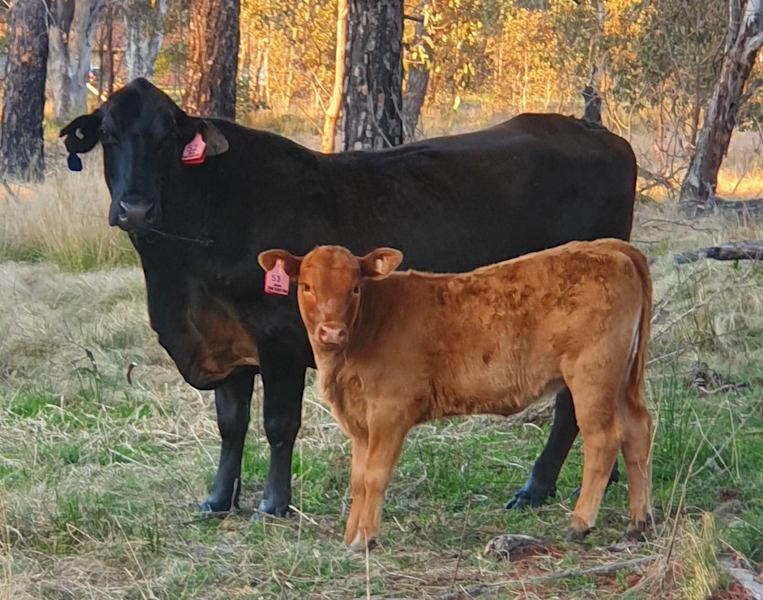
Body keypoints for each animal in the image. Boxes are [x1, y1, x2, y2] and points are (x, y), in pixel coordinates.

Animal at [60, 78, 637, 517]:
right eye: (107, 135)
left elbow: (278, 424)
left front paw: (273, 504)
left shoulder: (280, 337)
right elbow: (231, 424)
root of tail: (596, 132)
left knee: (572, 403)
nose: (134, 208)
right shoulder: (227, 340)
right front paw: (219, 501)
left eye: (167, 139)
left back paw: (537, 487)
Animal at [258, 241, 653, 549]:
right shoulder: (360, 422)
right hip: (622, 380)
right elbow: (358, 478)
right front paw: (351, 535)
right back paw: (639, 523)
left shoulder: (390, 412)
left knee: (604, 438)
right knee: (638, 430)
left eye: (355, 288)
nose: (332, 332)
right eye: (307, 286)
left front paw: (366, 537)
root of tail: (612, 247)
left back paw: (580, 523)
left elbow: (374, 475)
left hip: (592, 376)